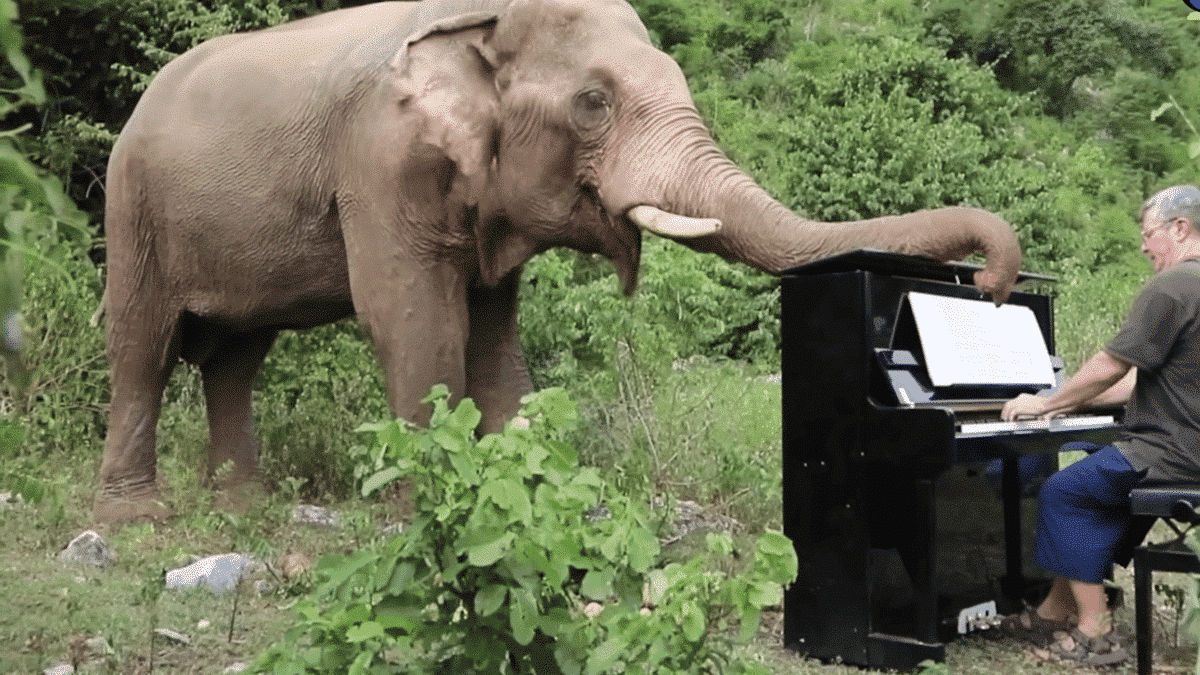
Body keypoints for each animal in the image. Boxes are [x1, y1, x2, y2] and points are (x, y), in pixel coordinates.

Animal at [95, 0, 1022, 523]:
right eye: (593, 102)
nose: (989, 281)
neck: (480, 15)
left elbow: (494, 334)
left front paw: (521, 492)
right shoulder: (381, 162)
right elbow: (415, 320)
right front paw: (424, 510)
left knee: (236, 357)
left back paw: (238, 501)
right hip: (132, 203)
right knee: (143, 344)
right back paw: (137, 517)